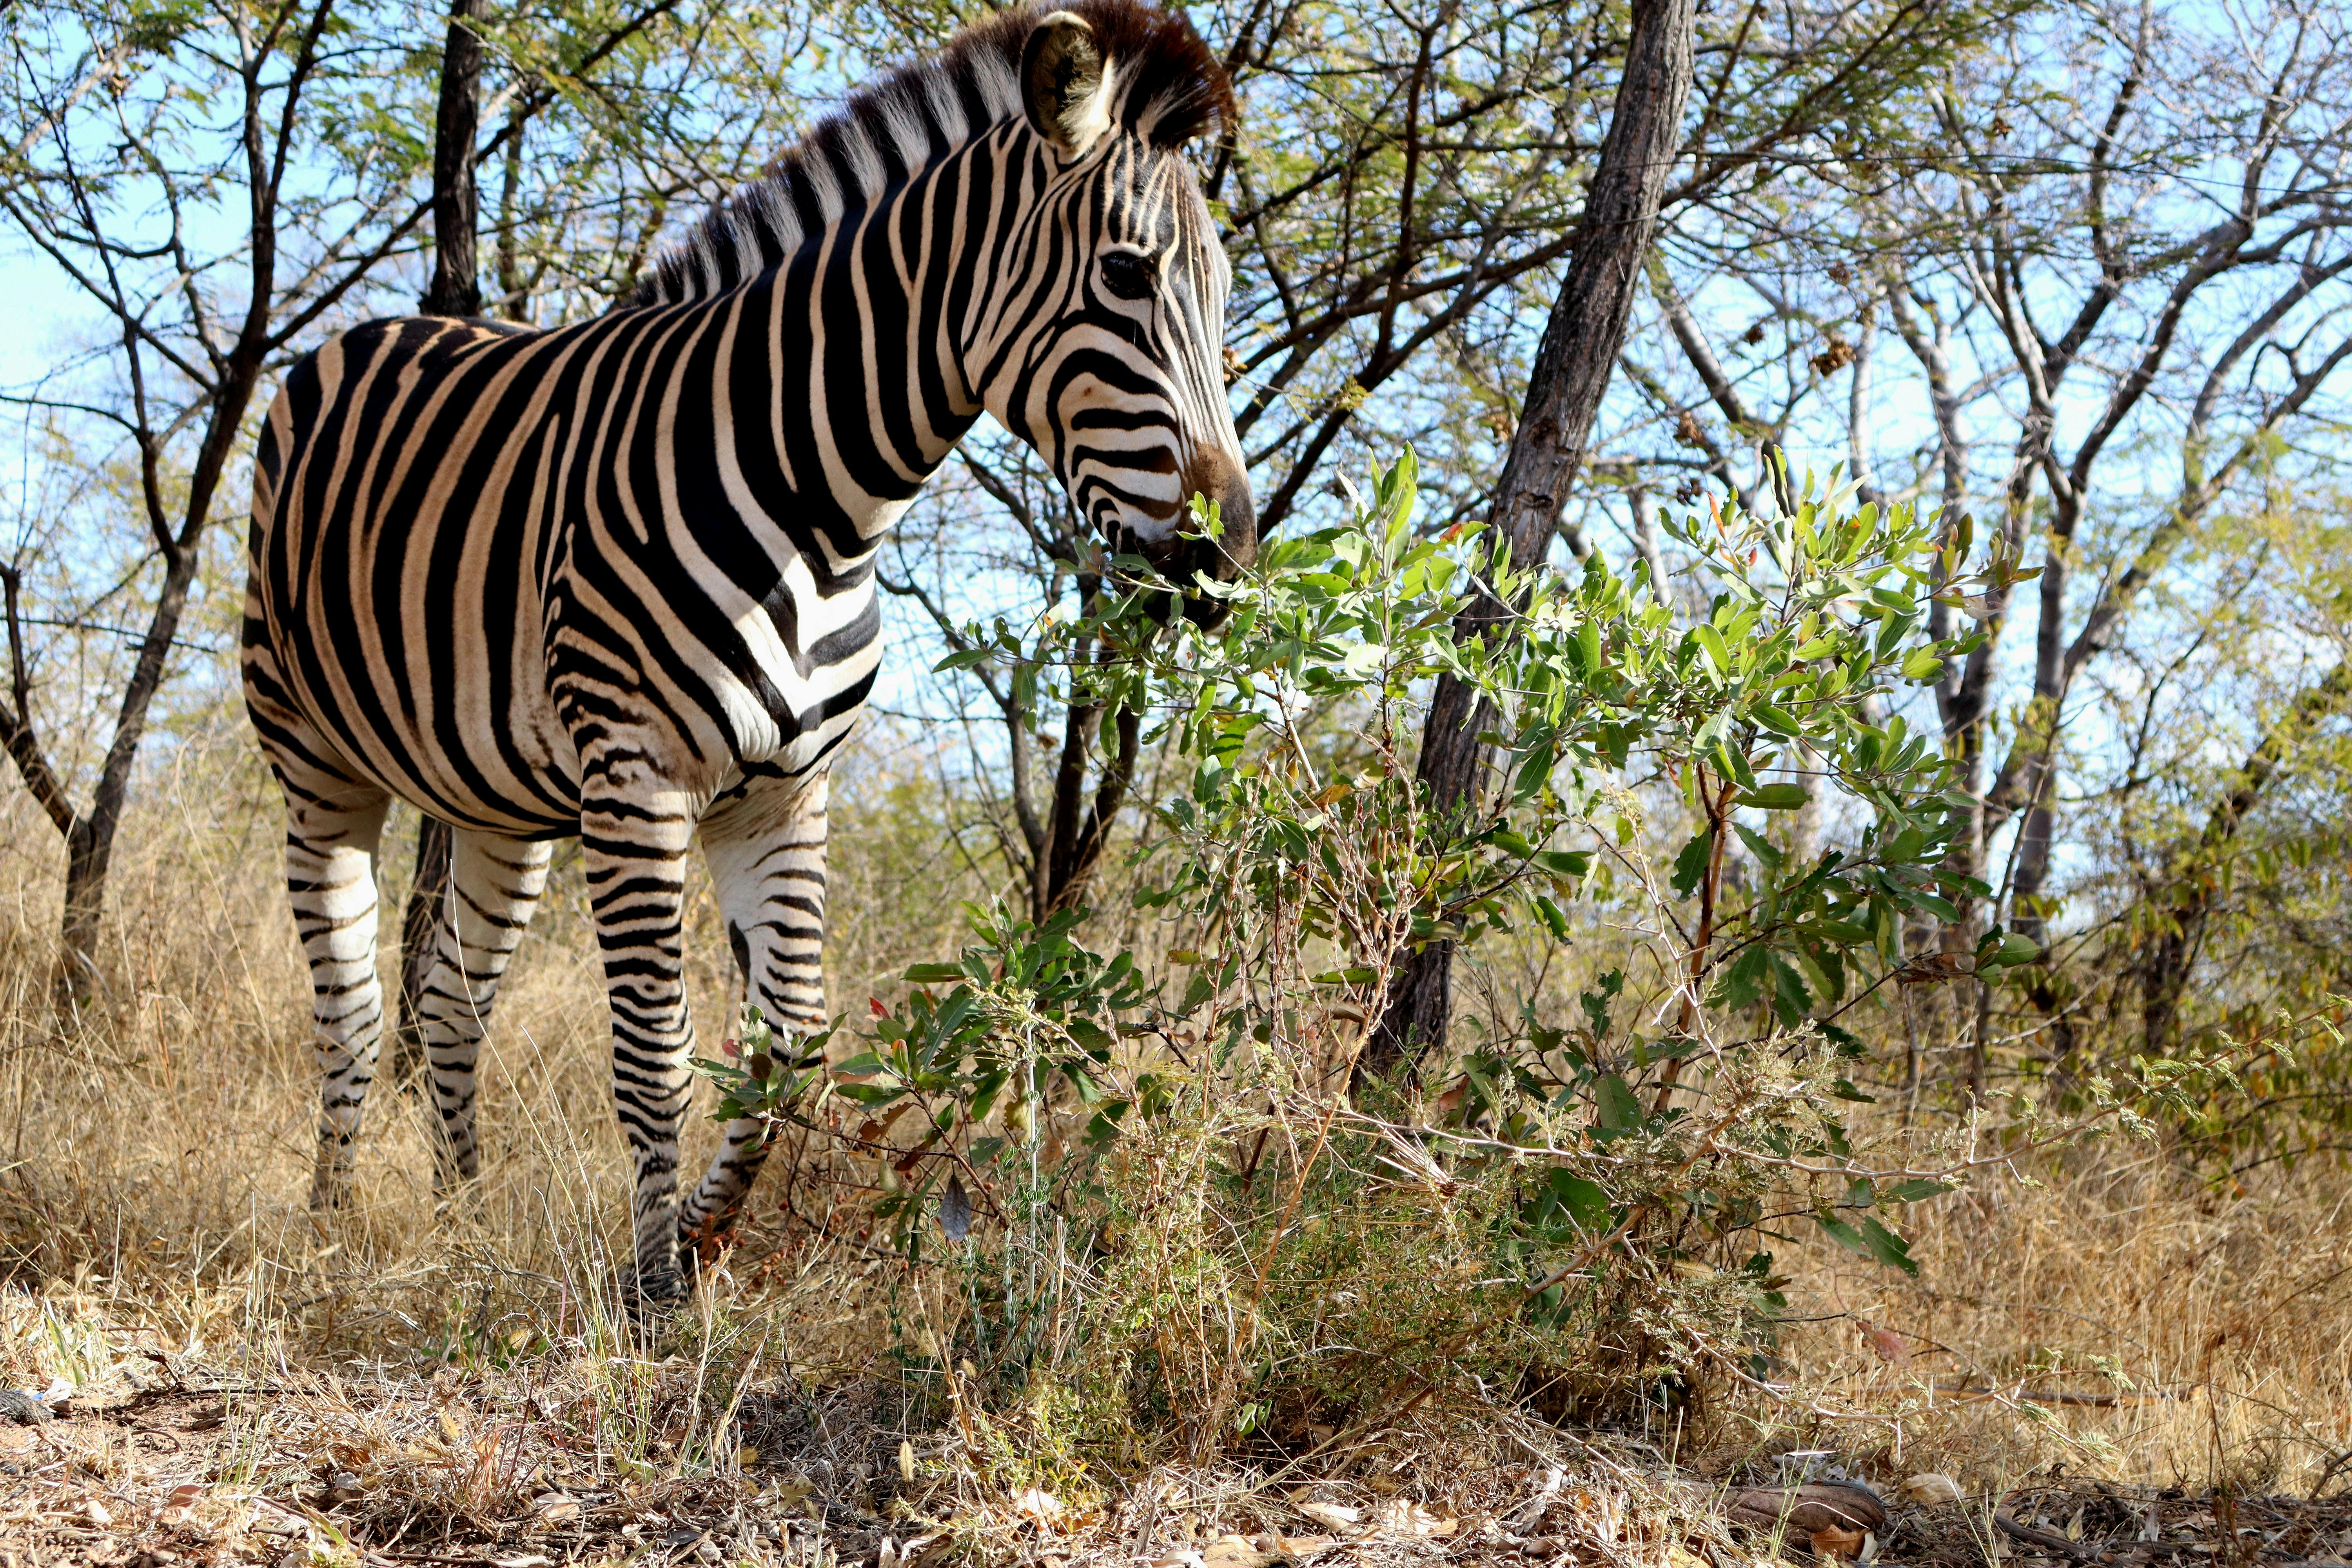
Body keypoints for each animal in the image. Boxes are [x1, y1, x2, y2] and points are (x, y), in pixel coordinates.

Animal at [240, 0, 1254, 1304]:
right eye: (1124, 276)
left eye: (1226, 299)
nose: (1227, 557)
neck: (824, 509)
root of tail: (378, 328)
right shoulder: (638, 779)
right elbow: (657, 1051)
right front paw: (650, 1287)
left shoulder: (782, 794)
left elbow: (792, 1044)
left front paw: (702, 1240)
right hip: (316, 757)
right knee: (354, 1009)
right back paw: (331, 1226)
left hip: (500, 803)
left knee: (452, 1003)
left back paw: (461, 1224)